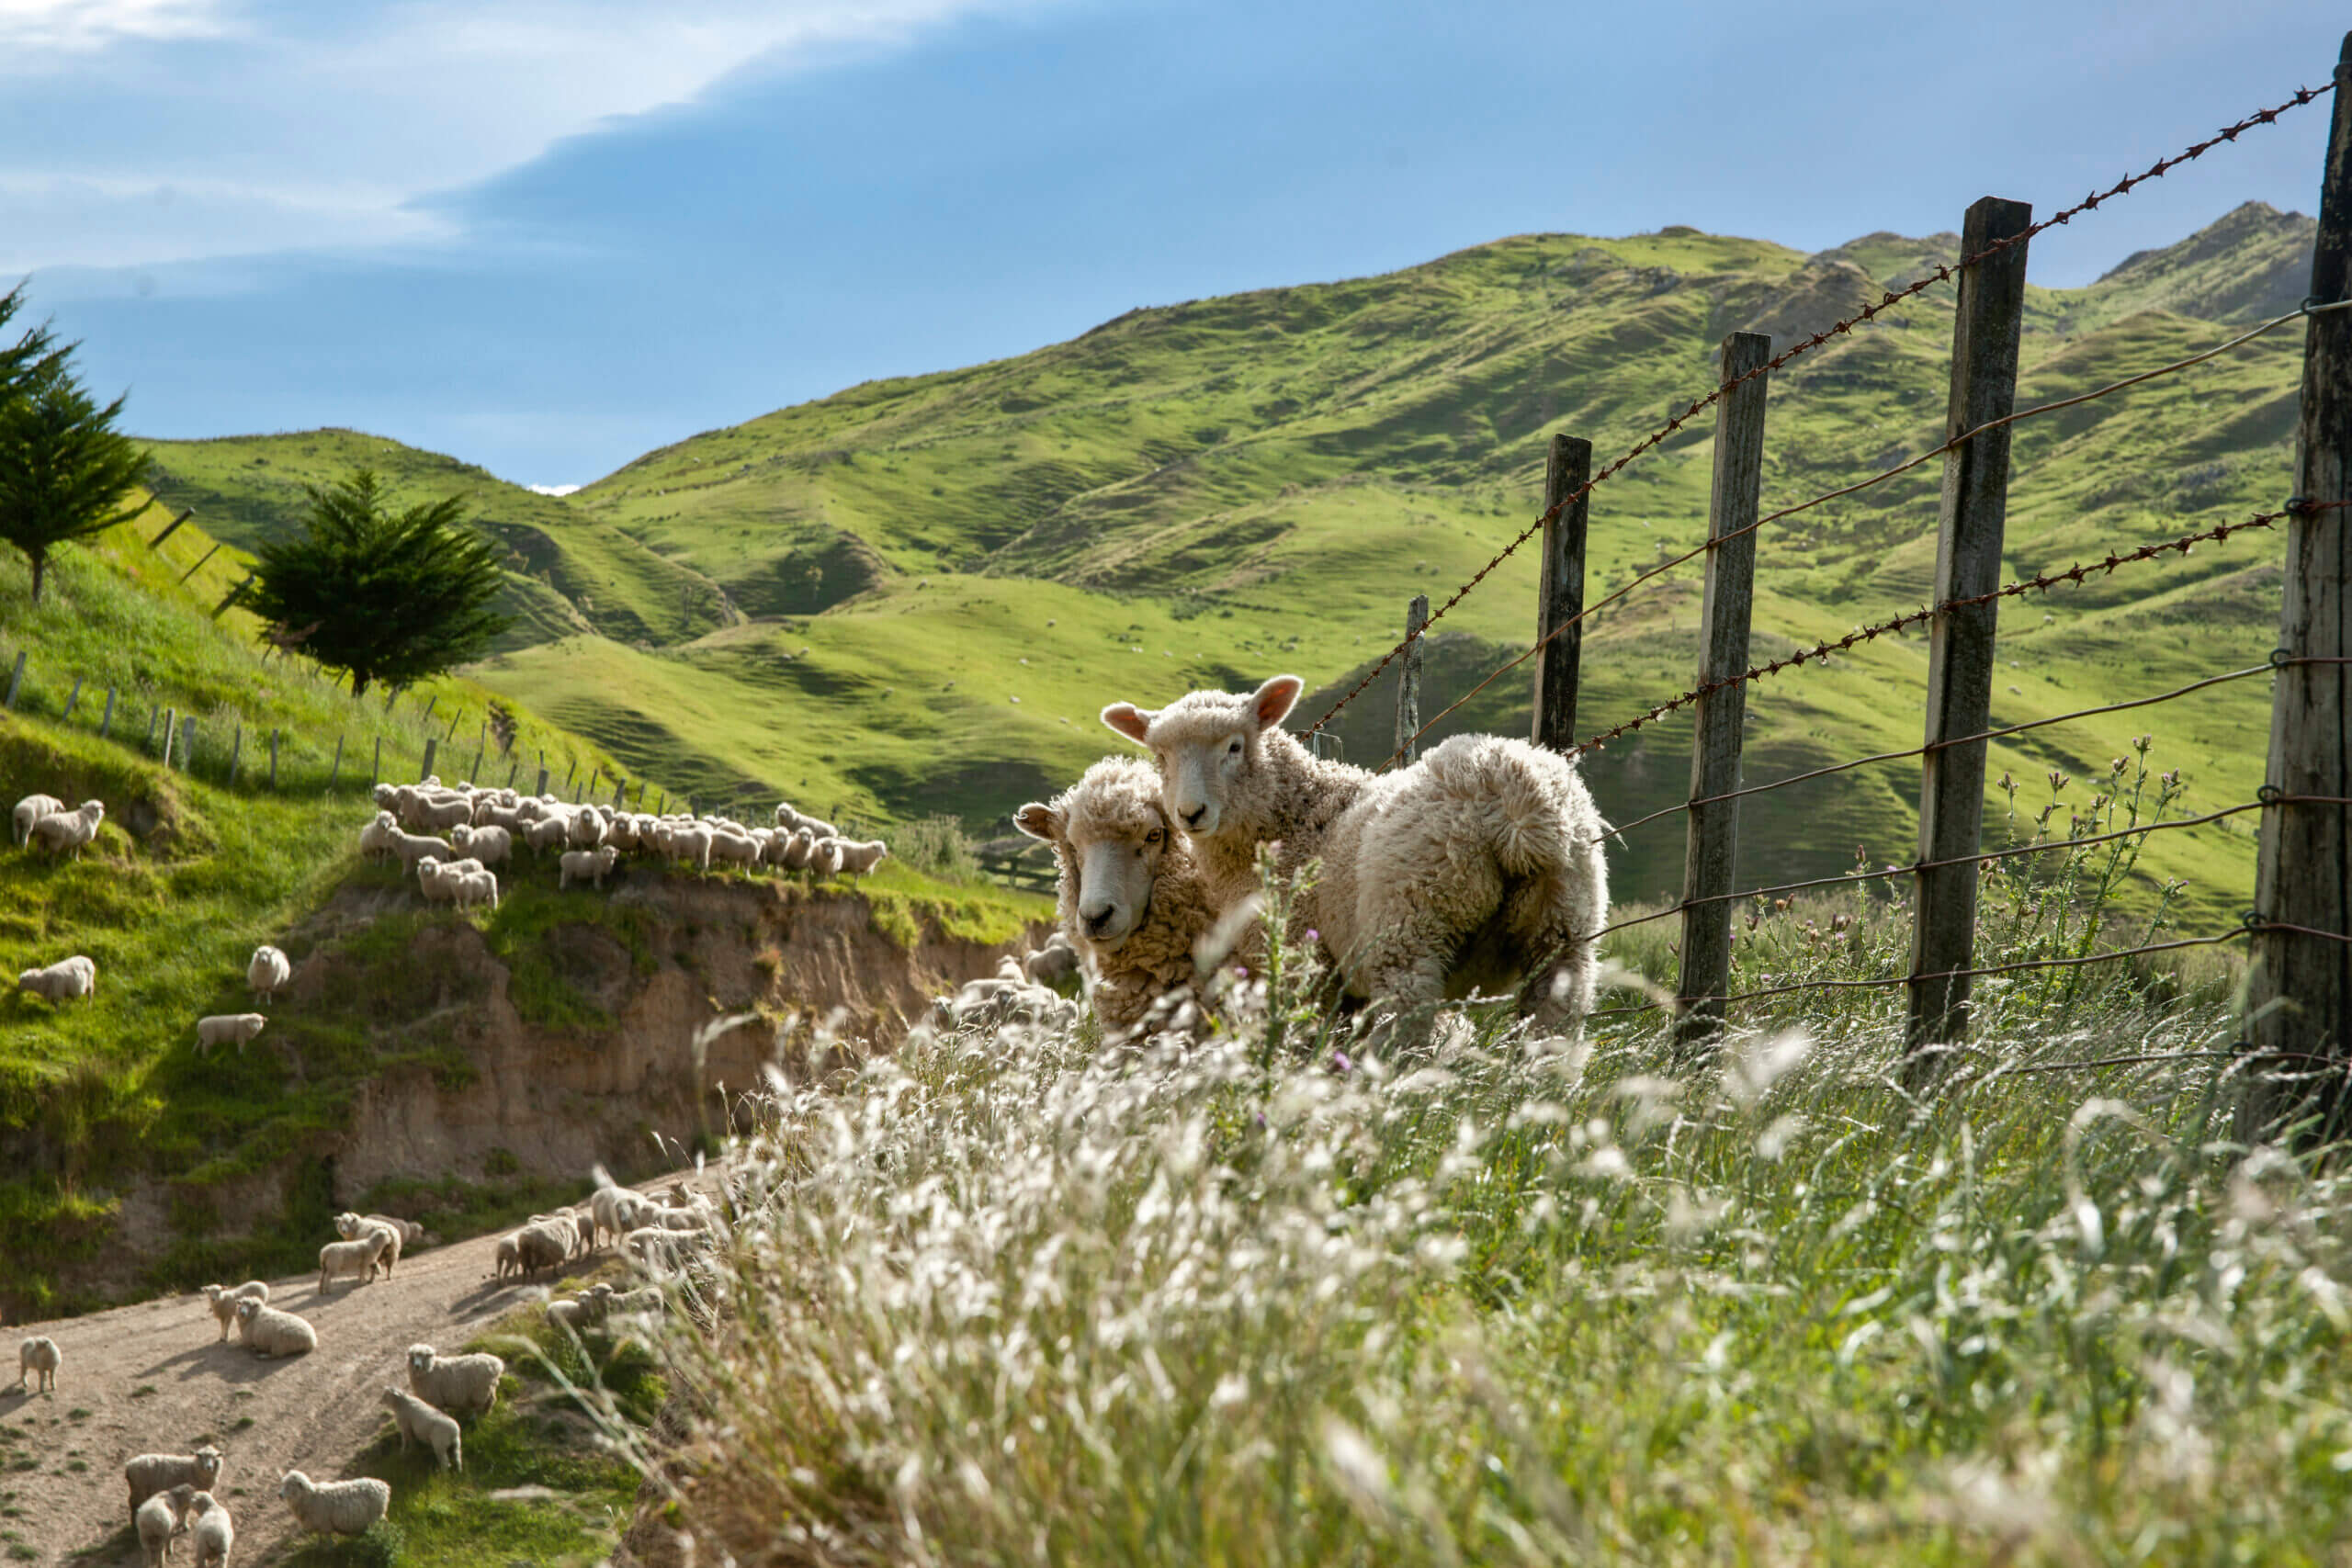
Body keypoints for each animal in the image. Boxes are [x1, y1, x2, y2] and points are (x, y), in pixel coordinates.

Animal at [1104, 676, 1610, 1042]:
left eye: (1234, 746)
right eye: (1160, 755)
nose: (1190, 813)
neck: (1297, 815)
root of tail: (1513, 792)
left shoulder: (1304, 956)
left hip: (1410, 922)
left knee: (1407, 1024)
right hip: (1565, 921)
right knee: (1556, 1017)